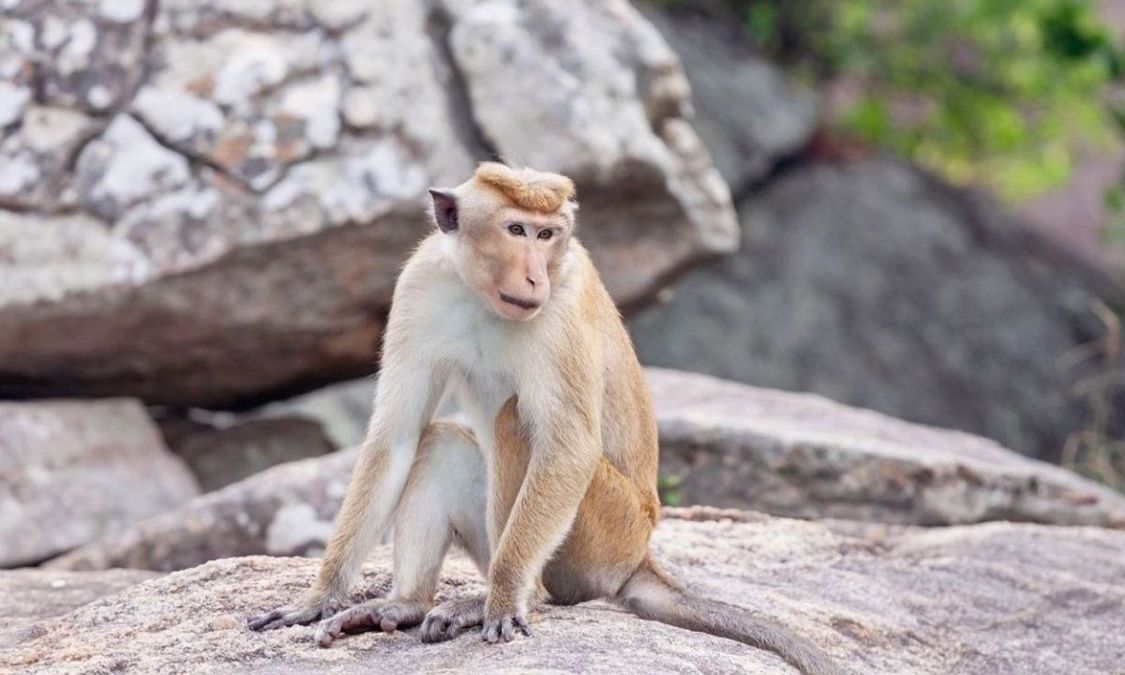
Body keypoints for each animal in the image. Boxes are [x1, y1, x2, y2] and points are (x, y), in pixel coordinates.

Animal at [248, 162, 840, 675]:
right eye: (516, 229)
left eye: (547, 235)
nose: (534, 278)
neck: (484, 297)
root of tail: (639, 557)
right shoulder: (420, 285)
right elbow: (397, 436)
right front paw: (320, 597)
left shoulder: (563, 306)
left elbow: (569, 446)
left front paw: (507, 599)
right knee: (441, 442)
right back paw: (407, 603)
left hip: (604, 536)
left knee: (517, 422)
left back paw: (509, 596)